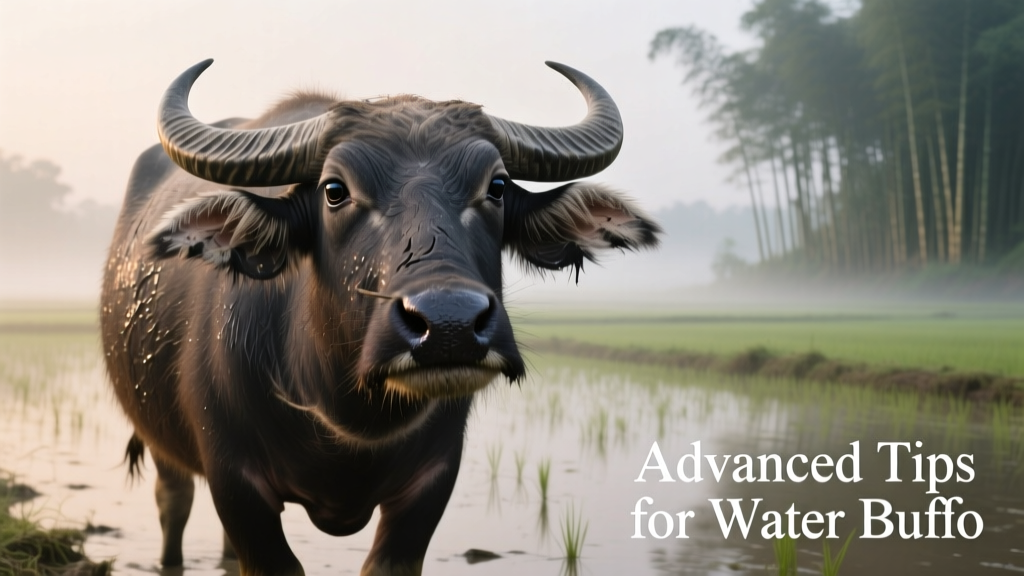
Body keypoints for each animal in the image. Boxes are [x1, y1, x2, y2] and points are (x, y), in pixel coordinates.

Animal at [101, 59, 659, 575]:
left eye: (497, 186)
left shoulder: (432, 482)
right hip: (162, 442)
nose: (450, 324)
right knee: (173, 505)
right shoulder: (235, 480)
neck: (352, 416)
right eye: (334, 191)